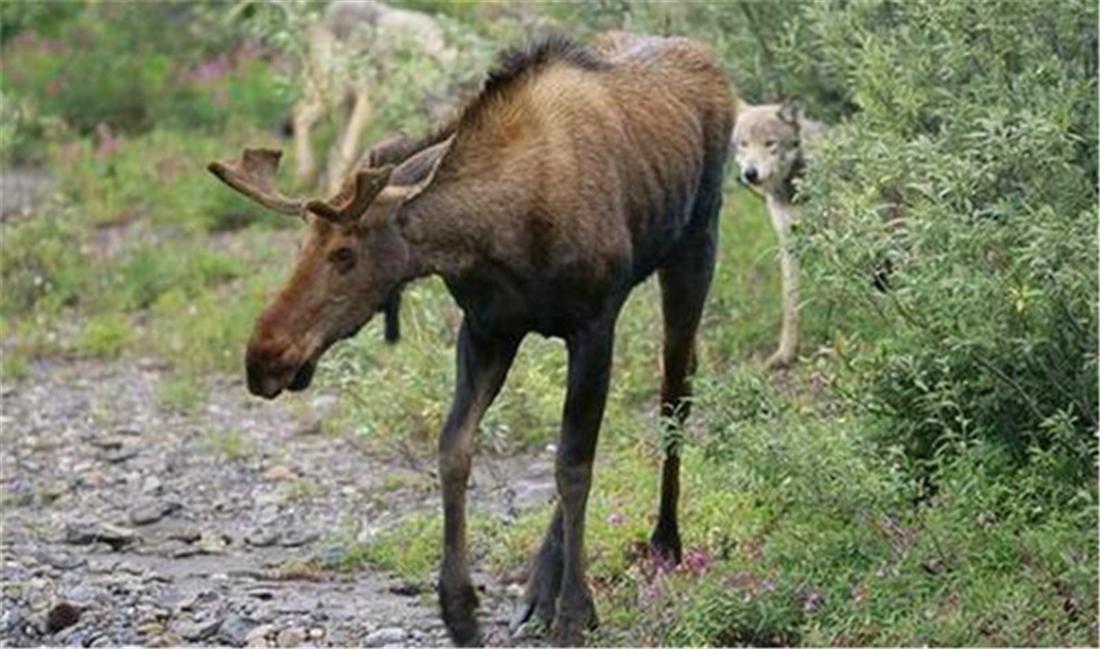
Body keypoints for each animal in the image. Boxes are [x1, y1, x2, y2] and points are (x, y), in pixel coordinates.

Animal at [208, 32, 736, 647]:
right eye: (301, 246)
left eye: (344, 254)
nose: (263, 357)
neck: (497, 236)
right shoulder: (487, 328)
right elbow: (456, 449)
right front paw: (460, 608)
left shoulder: (593, 323)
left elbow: (572, 466)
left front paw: (576, 613)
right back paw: (538, 589)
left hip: (696, 246)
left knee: (676, 392)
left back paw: (663, 542)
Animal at [732, 101, 824, 369]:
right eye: (744, 144)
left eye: (769, 143)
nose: (750, 173)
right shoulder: (789, 242)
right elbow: (790, 304)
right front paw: (786, 353)